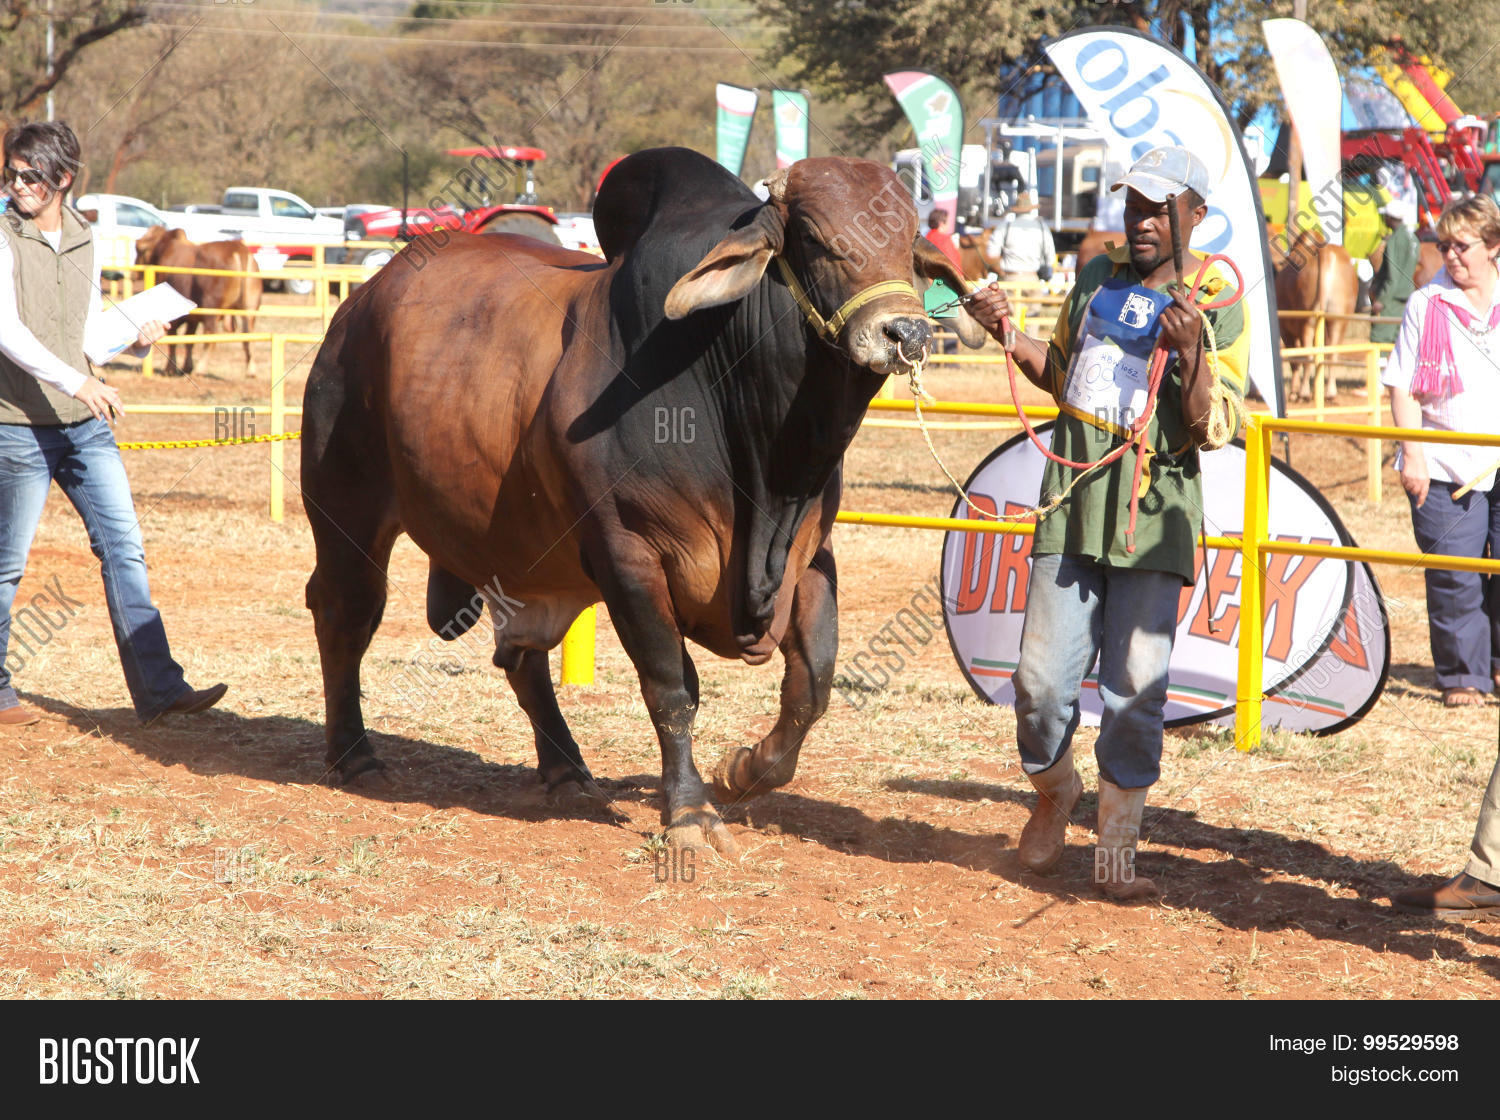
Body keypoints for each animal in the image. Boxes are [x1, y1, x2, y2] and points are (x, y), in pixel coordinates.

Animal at [134, 226, 262, 376]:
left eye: (138, 249)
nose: (134, 272)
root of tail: (237, 248)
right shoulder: (192, 319)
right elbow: (189, 340)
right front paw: (186, 366)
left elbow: (174, 339)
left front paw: (170, 369)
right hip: (250, 309)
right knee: (249, 336)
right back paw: (251, 370)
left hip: (211, 309)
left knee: (211, 337)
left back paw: (200, 368)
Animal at [300, 148, 986, 856]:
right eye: (816, 240)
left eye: (910, 241)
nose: (905, 331)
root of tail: (361, 303)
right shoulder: (629, 555)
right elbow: (672, 687)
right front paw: (690, 812)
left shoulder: (810, 553)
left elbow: (813, 684)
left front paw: (743, 771)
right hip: (346, 511)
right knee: (344, 614)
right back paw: (355, 755)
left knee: (519, 652)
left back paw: (566, 771)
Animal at [1272, 229, 1359, 403]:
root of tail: (1325, 253)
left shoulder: (1285, 329)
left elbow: (1295, 360)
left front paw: (1293, 392)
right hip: (1338, 321)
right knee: (1332, 355)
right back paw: (1330, 393)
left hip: (1308, 322)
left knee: (1307, 357)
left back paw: (1303, 392)